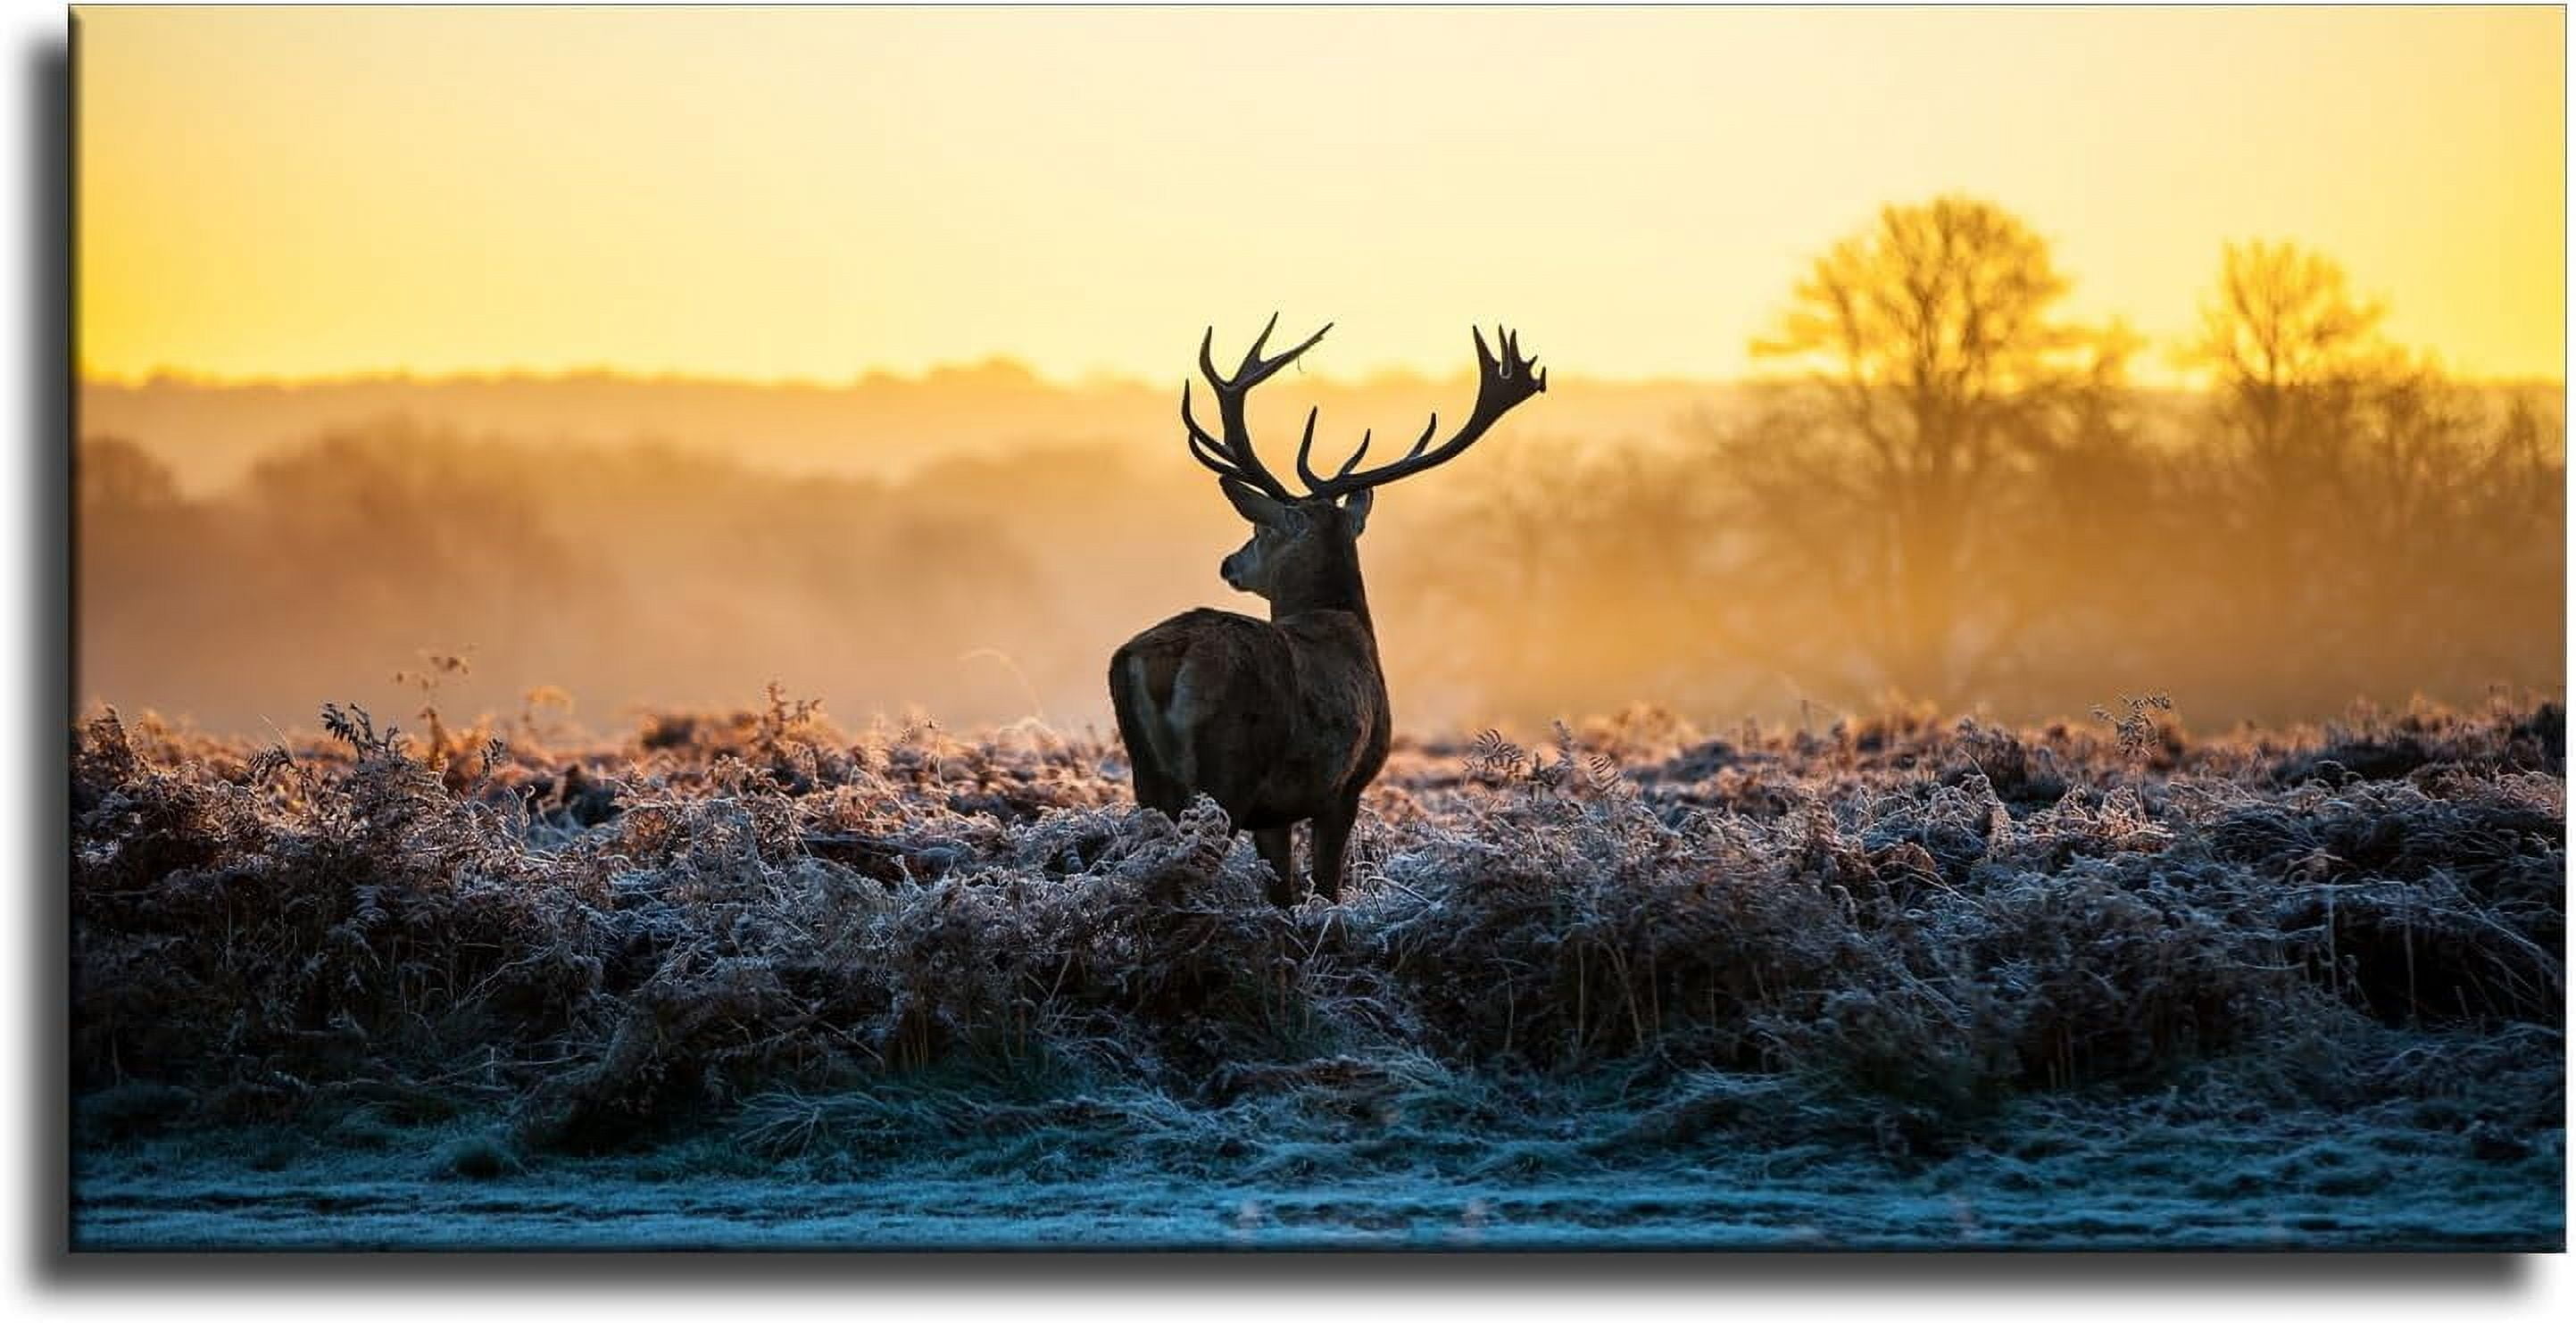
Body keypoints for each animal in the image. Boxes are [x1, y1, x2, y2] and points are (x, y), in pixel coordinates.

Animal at [1110, 316, 1546, 907]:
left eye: (1259, 529)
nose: (1229, 563)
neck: (1345, 620)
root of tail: (1166, 659)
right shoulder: (1344, 787)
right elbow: (1326, 889)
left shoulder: (1276, 811)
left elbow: (1283, 891)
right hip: (1228, 771)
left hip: (1149, 780)